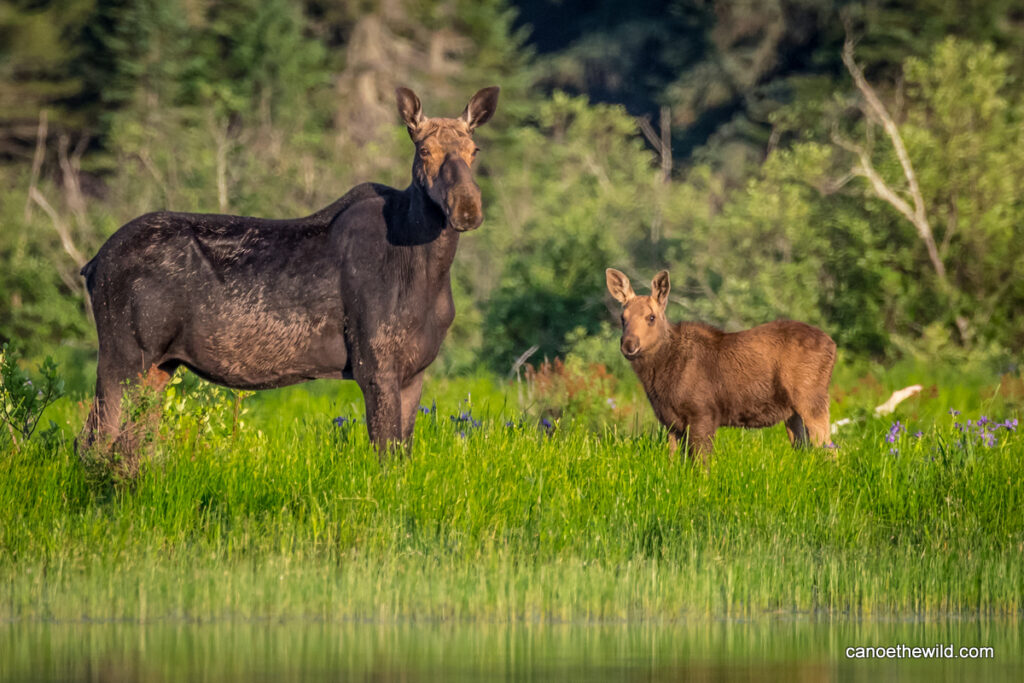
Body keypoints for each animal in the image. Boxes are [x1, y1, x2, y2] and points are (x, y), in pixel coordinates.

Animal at [78, 86, 499, 472]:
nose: (467, 206)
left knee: (130, 444)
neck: (428, 271)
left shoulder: (414, 372)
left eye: (475, 150)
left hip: (160, 365)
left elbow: (402, 456)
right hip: (124, 355)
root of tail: (92, 264)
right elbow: (385, 457)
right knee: (93, 441)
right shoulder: (374, 366)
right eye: (424, 150)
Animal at [605, 268, 836, 463]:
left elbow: (701, 462)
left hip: (812, 399)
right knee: (806, 448)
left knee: (829, 446)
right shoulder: (671, 420)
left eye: (651, 317)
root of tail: (833, 346)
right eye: (623, 318)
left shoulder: (703, 413)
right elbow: (673, 461)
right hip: (793, 413)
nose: (629, 345)